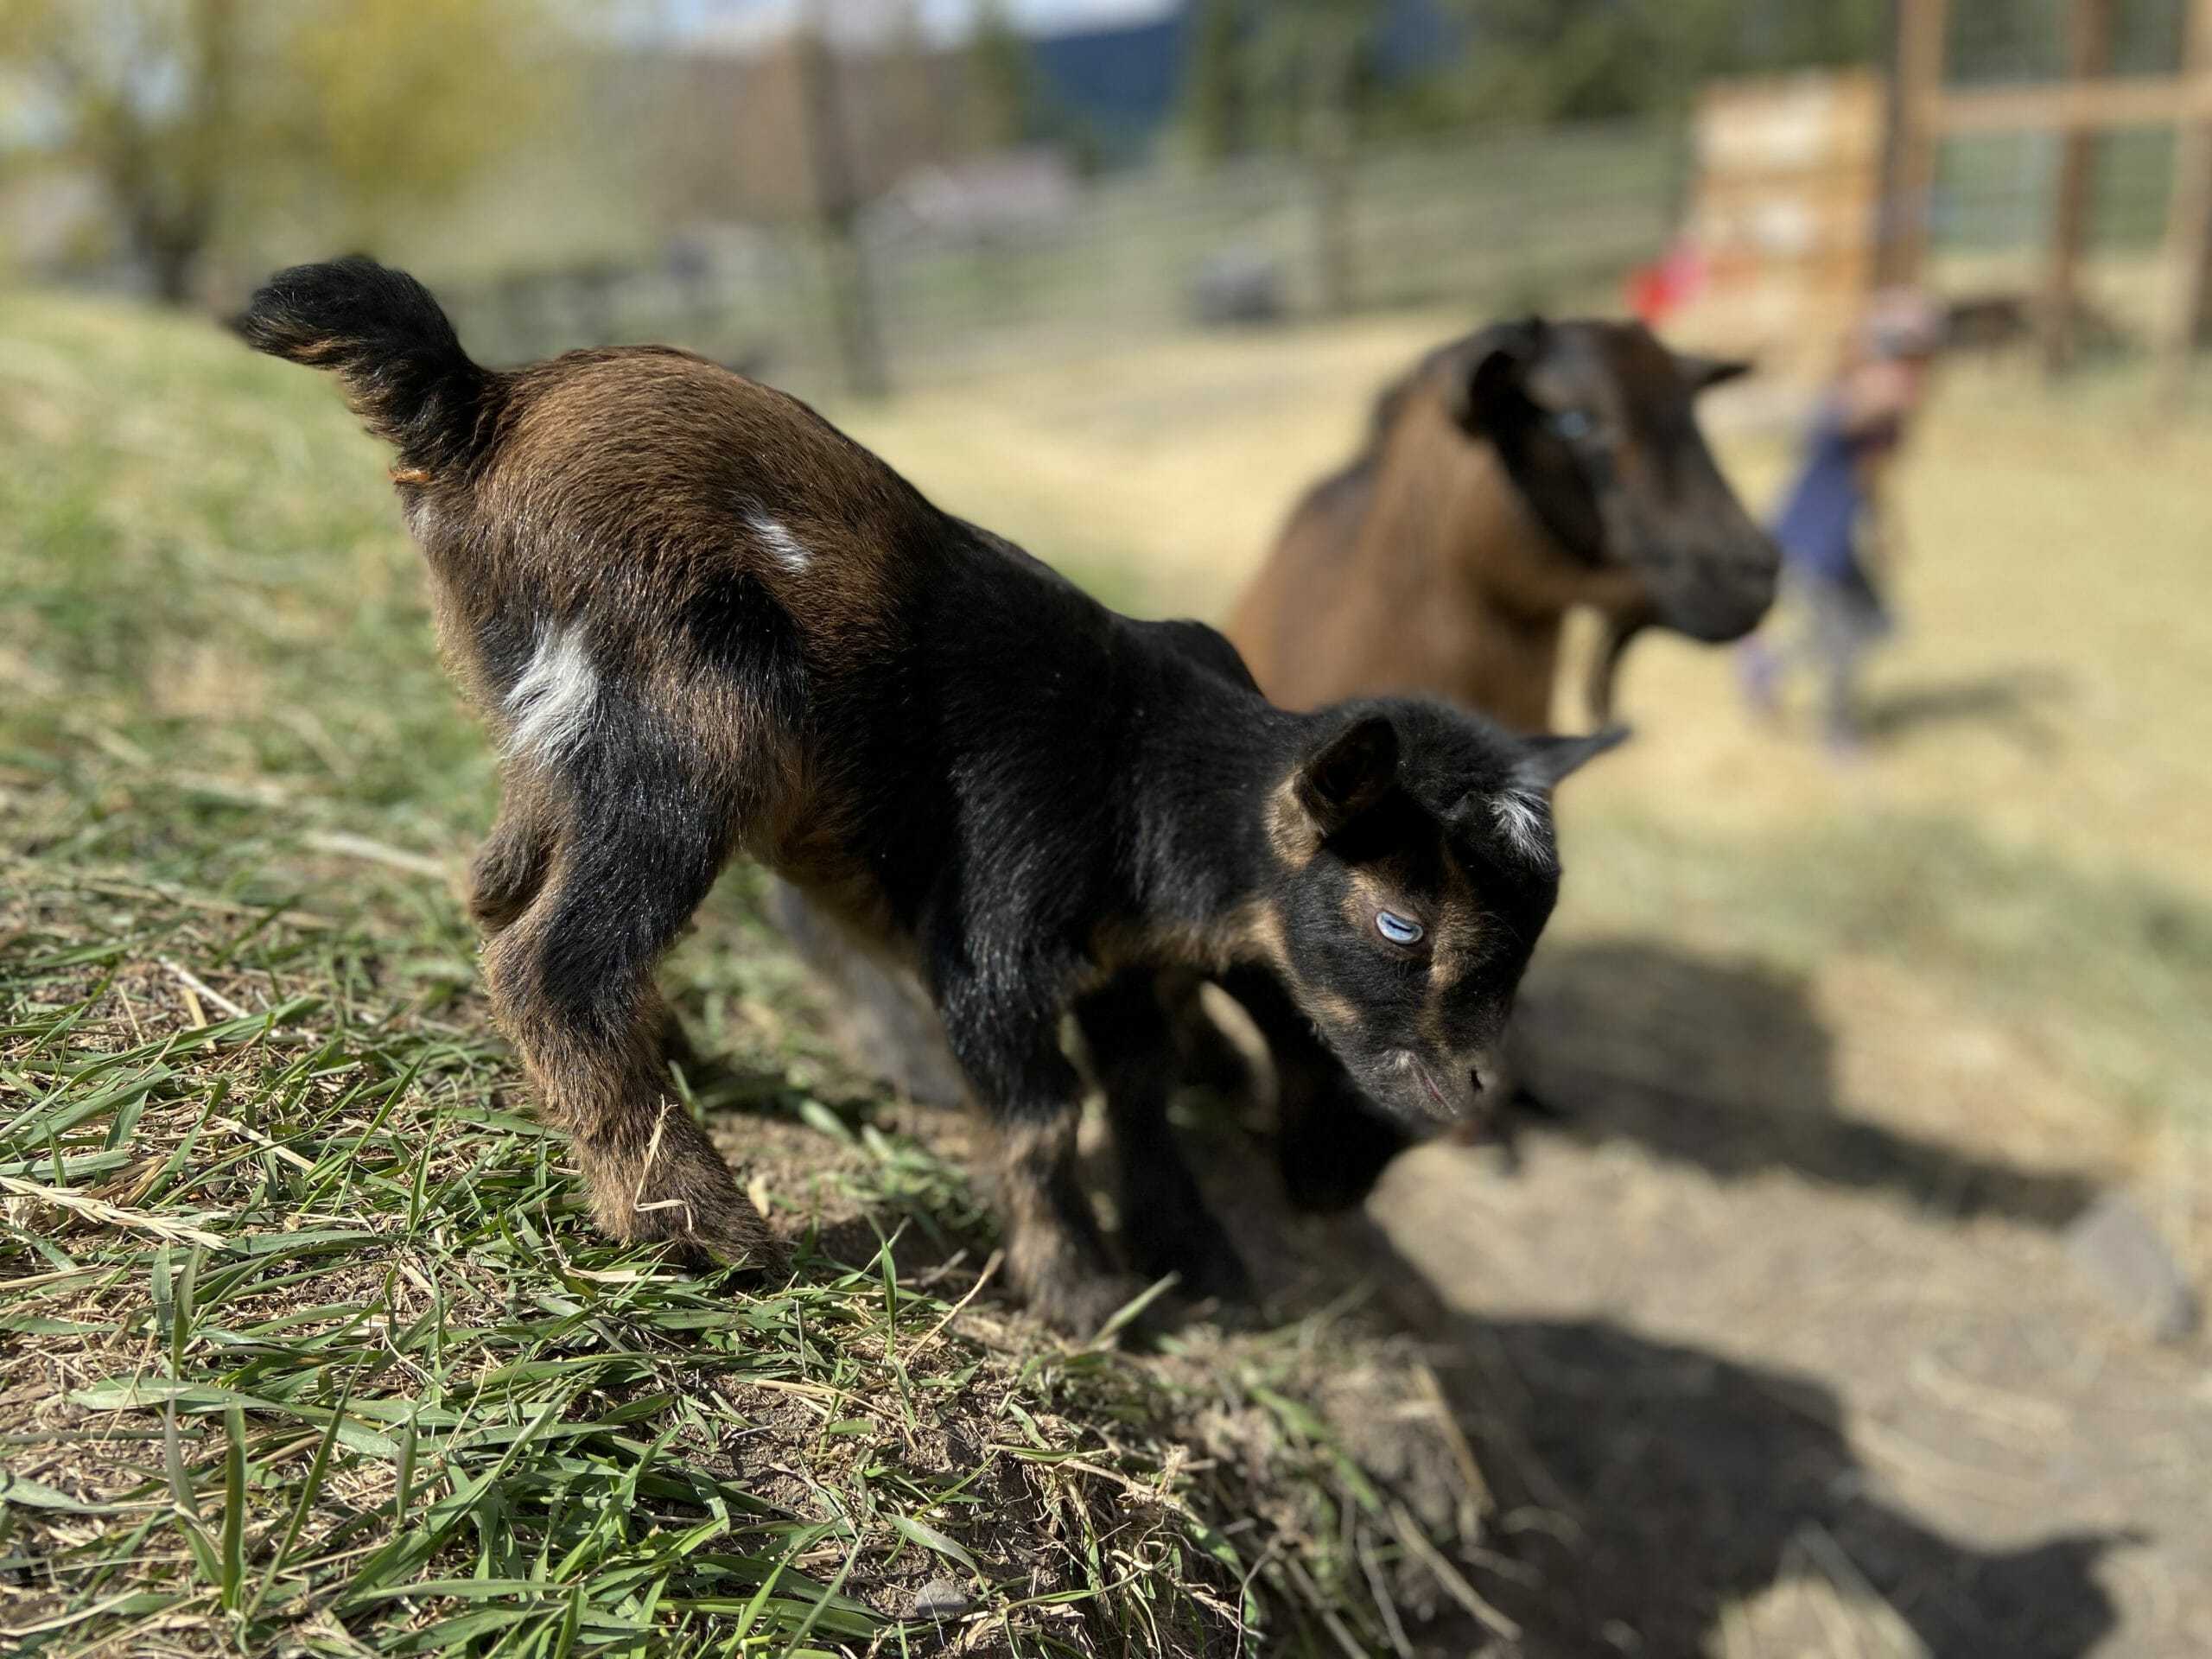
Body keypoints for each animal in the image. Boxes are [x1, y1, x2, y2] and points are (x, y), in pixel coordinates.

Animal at [236, 259, 1620, 1332]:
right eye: (1400, 922)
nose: (1474, 1097)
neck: (1142, 775)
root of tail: (481, 404)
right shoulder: (997, 930)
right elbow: (1044, 1116)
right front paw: (1081, 1300)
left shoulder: (1118, 963)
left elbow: (1138, 1093)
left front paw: (1193, 1256)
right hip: (691, 713)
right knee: (557, 958)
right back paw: (703, 1228)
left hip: (558, 732)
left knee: (501, 888)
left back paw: (670, 1068)